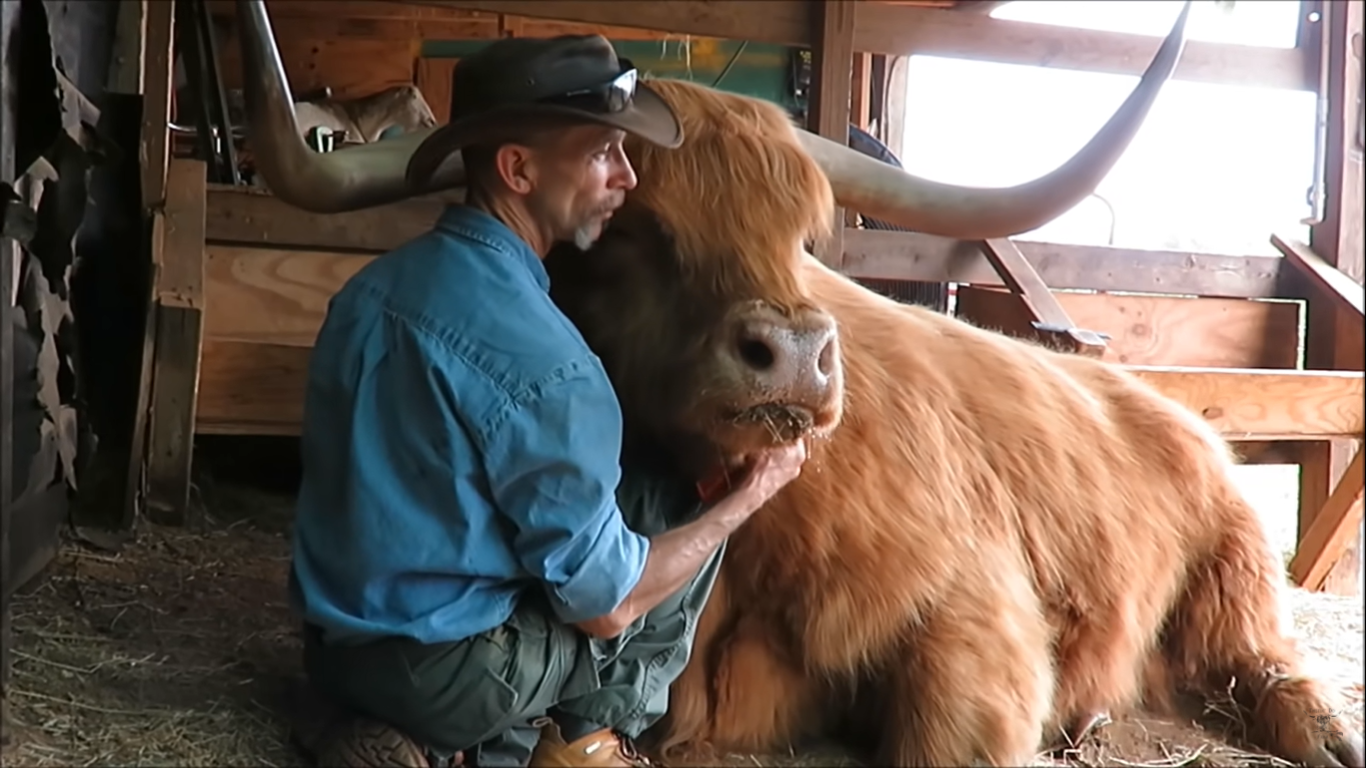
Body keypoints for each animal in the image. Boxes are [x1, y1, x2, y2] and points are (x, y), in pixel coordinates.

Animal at [229, 1, 1365, 765]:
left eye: (803, 235)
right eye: (624, 229)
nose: (794, 355)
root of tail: (1164, 405)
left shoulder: (971, 615)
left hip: (1232, 567)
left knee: (1261, 655)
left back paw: (1318, 729)